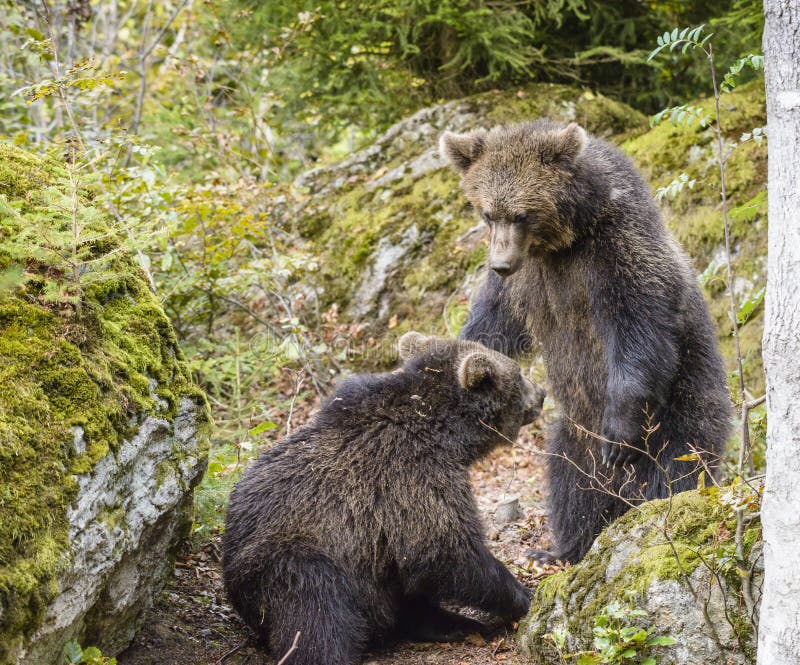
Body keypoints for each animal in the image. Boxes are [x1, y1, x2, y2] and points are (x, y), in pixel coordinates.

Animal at [222, 332, 546, 665]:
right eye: (519, 373)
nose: (543, 393)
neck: (445, 434)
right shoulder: (412, 479)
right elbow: (446, 550)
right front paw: (522, 595)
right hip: (286, 562)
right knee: (315, 612)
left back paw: (452, 623)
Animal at [440, 119, 731, 564]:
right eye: (487, 212)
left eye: (522, 214)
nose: (501, 263)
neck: (564, 241)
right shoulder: (526, 284)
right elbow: (493, 326)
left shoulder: (617, 249)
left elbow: (639, 325)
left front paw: (619, 432)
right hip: (575, 432)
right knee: (570, 484)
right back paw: (563, 548)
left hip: (683, 410)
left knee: (673, 469)